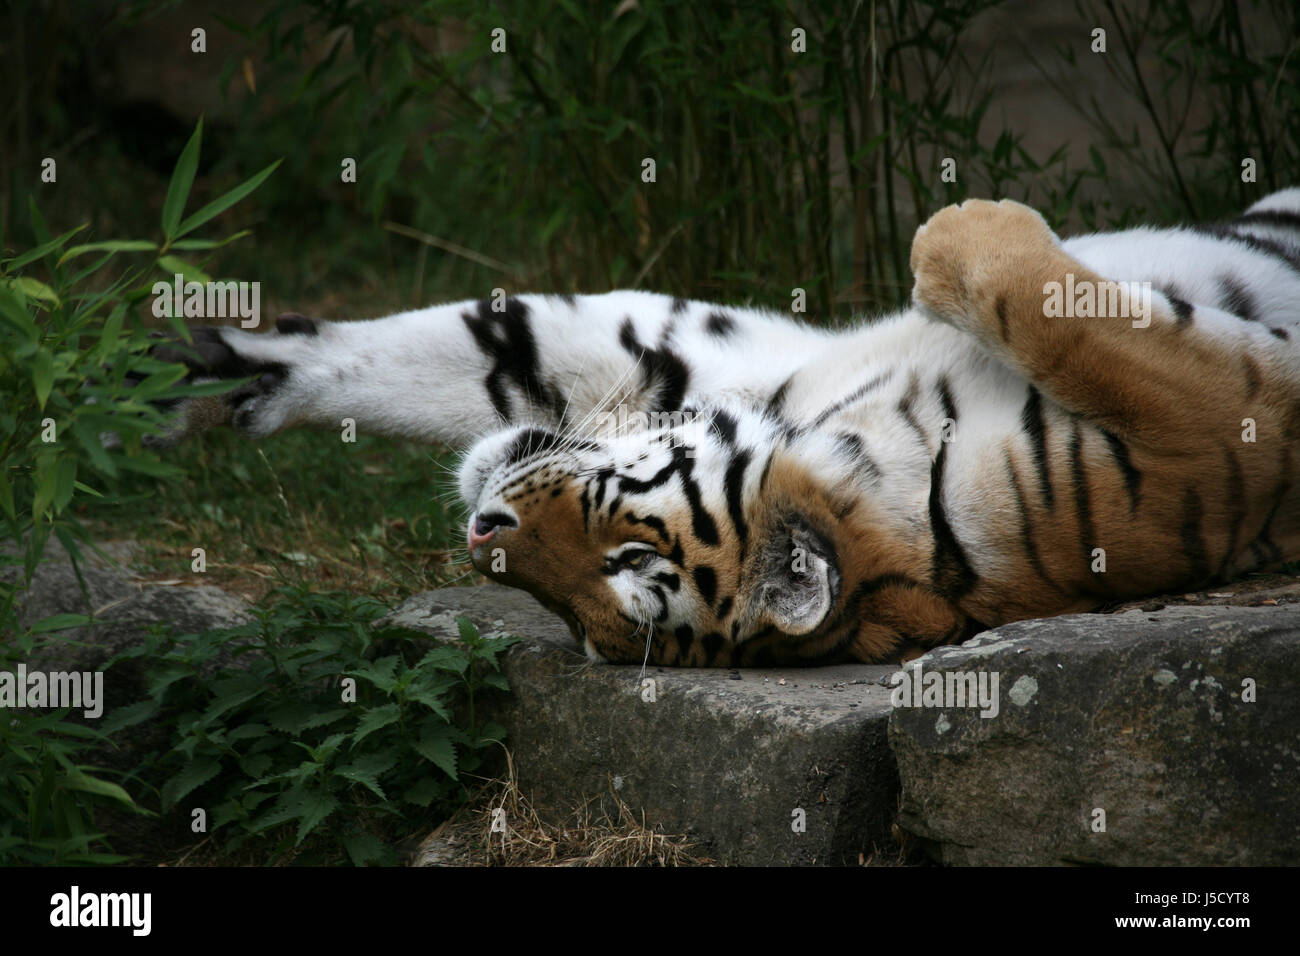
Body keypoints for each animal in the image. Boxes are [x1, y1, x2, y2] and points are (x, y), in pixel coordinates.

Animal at [157, 192, 1300, 667]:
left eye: (624, 561)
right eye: (567, 614)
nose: (482, 536)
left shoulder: (1218, 424)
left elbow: (1054, 314)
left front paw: (957, 221)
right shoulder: (706, 355)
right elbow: (488, 345)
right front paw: (190, 374)